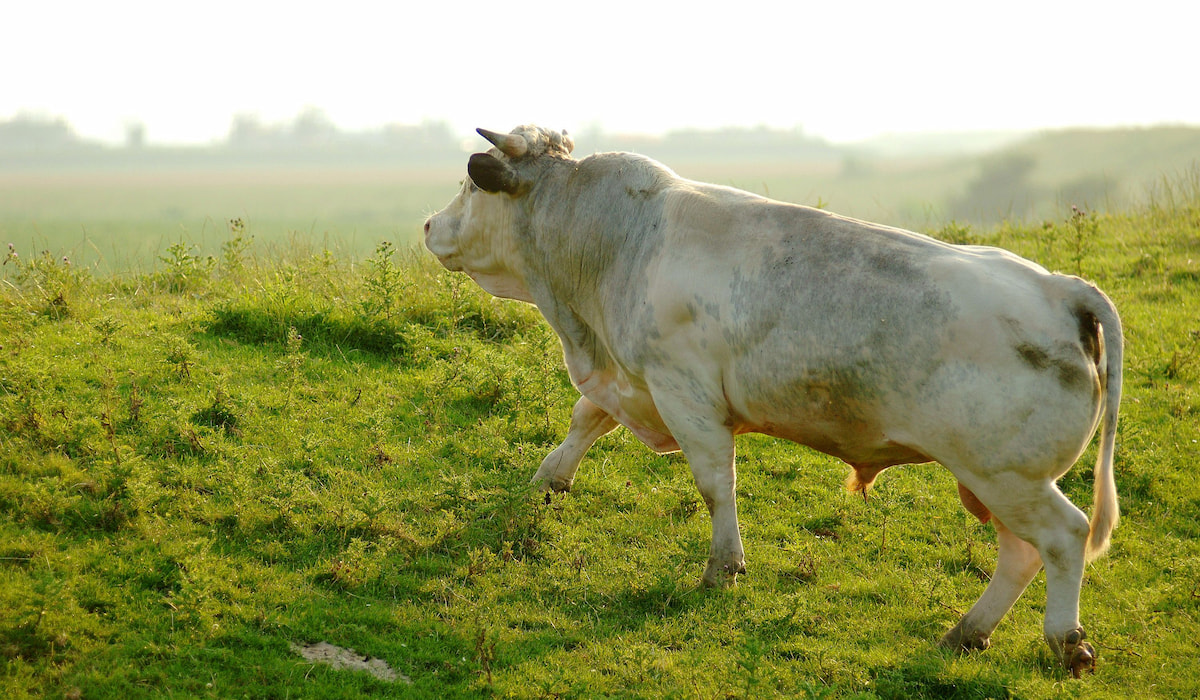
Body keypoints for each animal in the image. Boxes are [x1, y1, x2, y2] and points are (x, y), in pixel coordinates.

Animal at [423, 125, 1122, 677]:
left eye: (471, 188)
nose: (429, 224)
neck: (614, 245)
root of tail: (1062, 288)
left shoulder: (683, 390)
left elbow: (715, 484)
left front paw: (723, 566)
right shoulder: (632, 377)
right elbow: (586, 418)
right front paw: (550, 478)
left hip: (1008, 474)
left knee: (1064, 537)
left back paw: (1065, 641)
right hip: (996, 479)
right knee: (1021, 554)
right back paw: (965, 633)